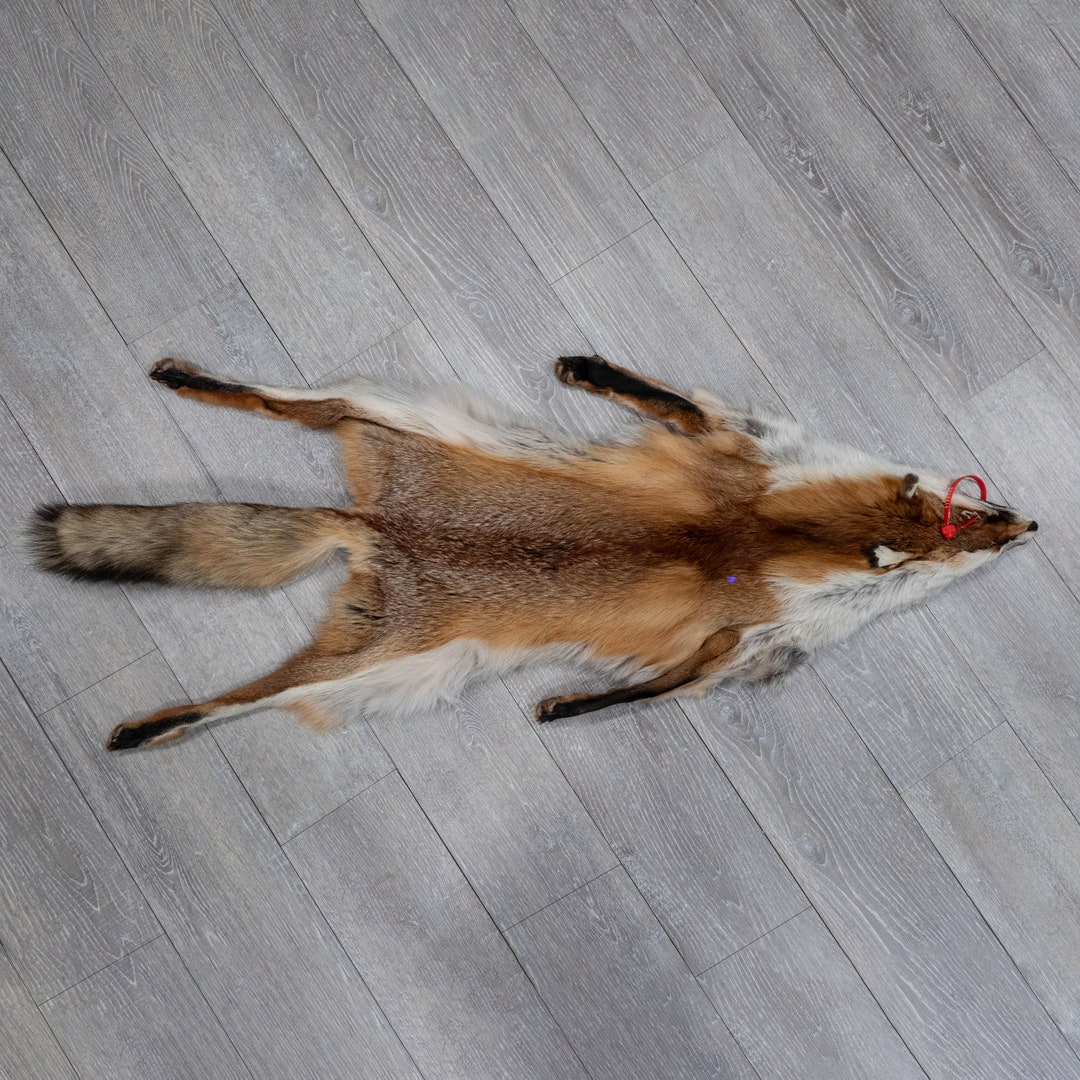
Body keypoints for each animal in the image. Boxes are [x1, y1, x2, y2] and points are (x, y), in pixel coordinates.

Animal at [32, 354, 1036, 751]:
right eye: (977, 524)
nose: (1030, 528)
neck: (782, 539)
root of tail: (373, 530)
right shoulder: (748, 618)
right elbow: (647, 695)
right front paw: (568, 708)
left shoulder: (737, 474)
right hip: (390, 664)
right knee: (242, 703)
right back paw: (149, 733)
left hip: (385, 447)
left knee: (295, 405)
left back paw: (185, 377)